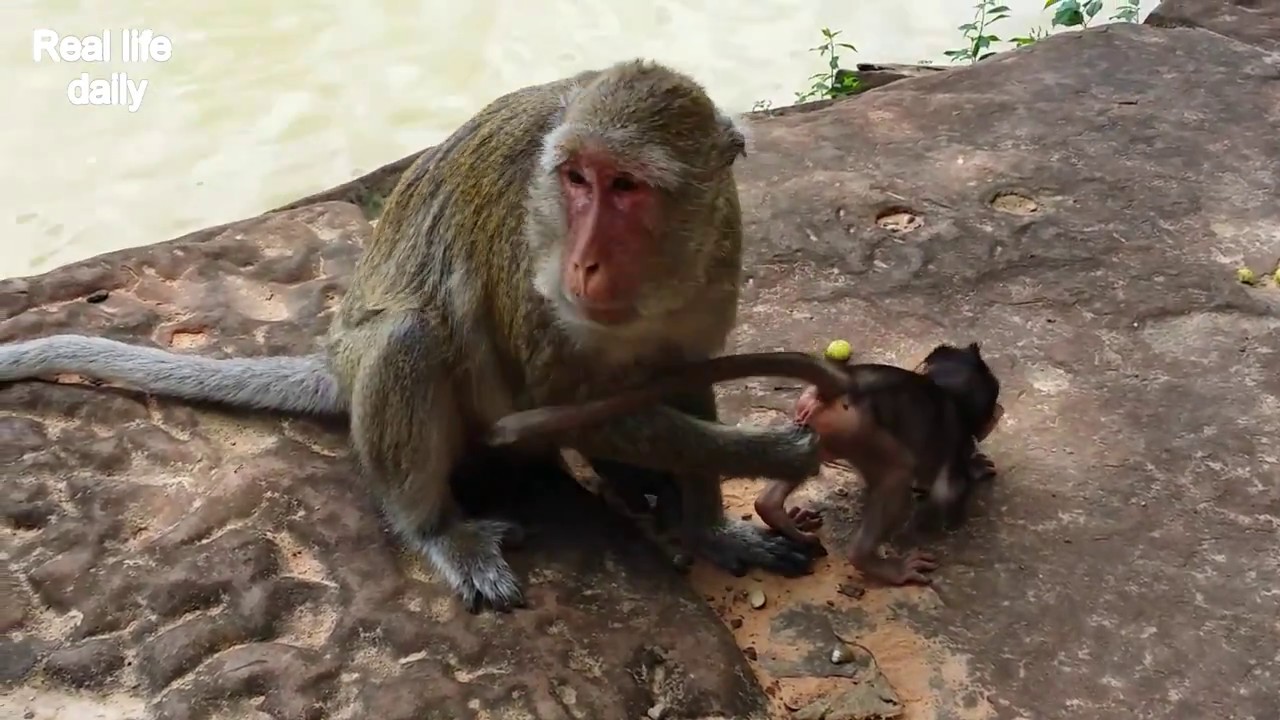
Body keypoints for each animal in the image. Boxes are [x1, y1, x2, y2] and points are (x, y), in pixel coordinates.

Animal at [0, 59, 828, 613]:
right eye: (576, 180)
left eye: (626, 187)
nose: (583, 262)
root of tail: (335, 357)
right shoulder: (527, 265)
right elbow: (557, 405)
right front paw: (773, 451)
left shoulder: (719, 249)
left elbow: (687, 374)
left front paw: (710, 525)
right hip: (378, 357)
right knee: (410, 338)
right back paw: (437, 529)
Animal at [484, 343, 1004, 586]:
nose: (996, 413)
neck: (946, 391)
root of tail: (847, 382)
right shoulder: (953, 446)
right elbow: (946, 494)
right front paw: (958, 496)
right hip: (858, 430)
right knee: (893, 473)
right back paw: (872, 561)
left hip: (817, 419)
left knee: (798, 453)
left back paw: (776, 514)